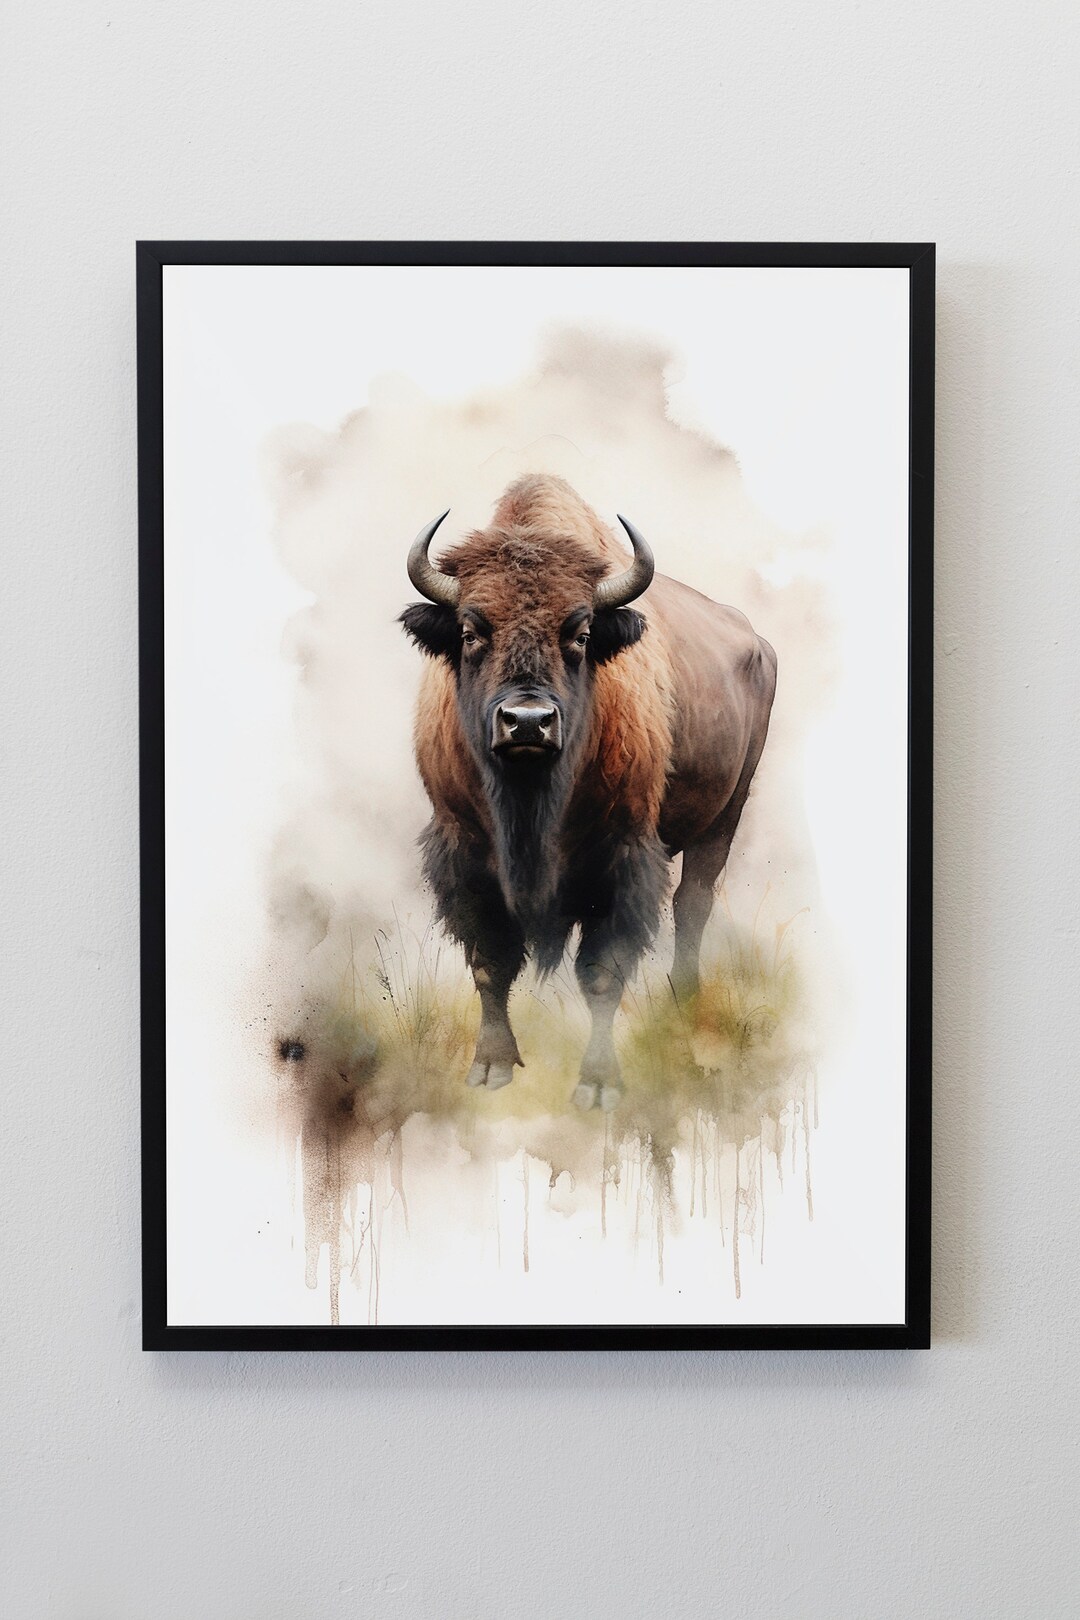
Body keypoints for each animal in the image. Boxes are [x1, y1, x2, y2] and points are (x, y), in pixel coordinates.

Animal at [400, 475, 776, 1109]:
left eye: (580, 633)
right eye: (471, 631)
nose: (527, 722)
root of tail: (756, 641)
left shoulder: (621, 855)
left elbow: (602, 972)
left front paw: (598, 1085)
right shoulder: (463, 850)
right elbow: (489, 961)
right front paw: (491, 1068)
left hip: (725, 815)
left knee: (693, 903)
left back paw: (683, 1005)